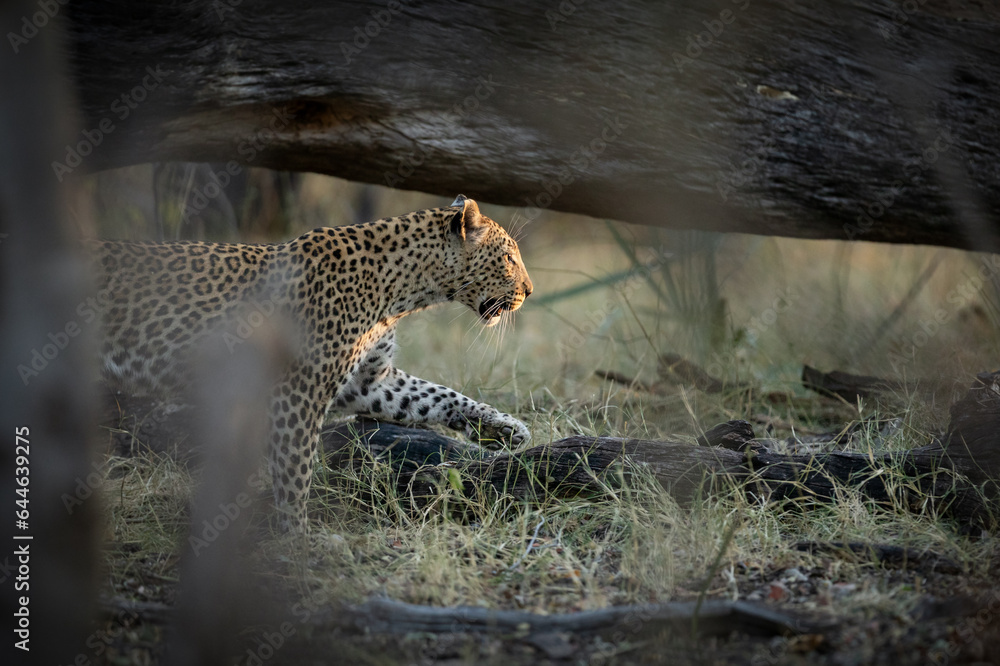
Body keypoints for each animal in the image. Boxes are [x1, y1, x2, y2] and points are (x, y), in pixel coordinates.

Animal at [90, 195, 533, 532]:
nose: (530, 290)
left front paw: (505, 428)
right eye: (509, 258)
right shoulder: (298, 392)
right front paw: (299, 543)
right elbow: (295, 473)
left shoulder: (371, 383)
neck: (404, 291)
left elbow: (439, 396)